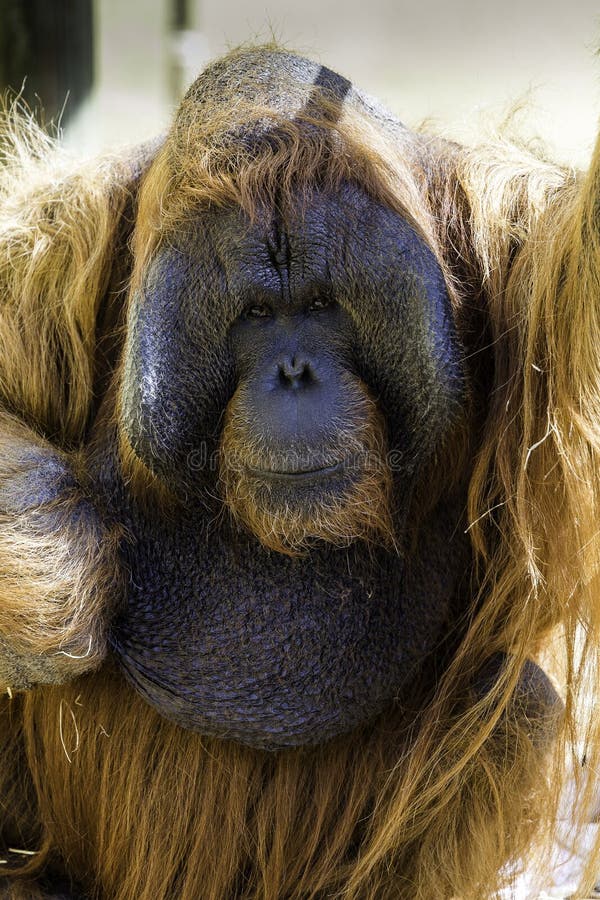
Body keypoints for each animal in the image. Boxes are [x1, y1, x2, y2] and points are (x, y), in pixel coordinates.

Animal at [0, 44, 599, 899]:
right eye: (255, 314)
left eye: (321, 305)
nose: (293, 372)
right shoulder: (48, 254)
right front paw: (55, 571)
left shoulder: (517, 241)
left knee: (520, 702)